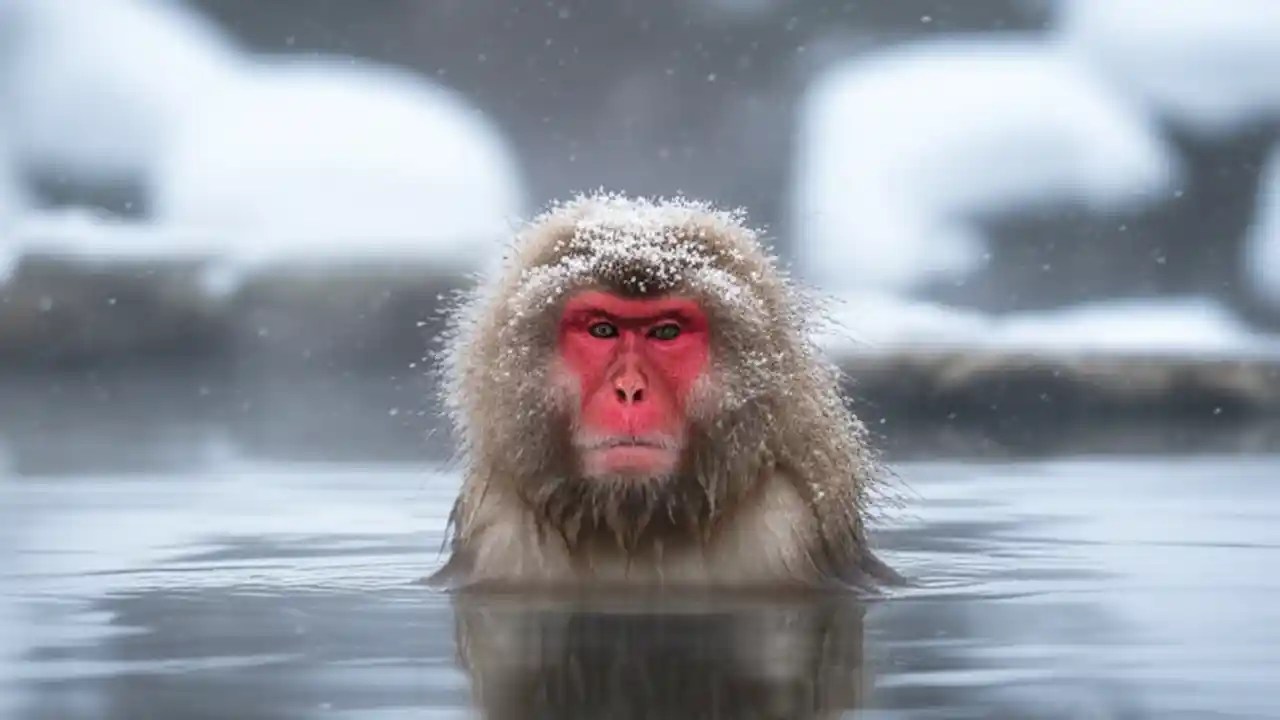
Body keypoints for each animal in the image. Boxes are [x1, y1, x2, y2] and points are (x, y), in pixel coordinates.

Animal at [431, 192, 896, 590]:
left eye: (666, 332)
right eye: (603, 330)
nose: (630, 391)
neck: (637, 525)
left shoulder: (786, 528)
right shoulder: (498, 537)